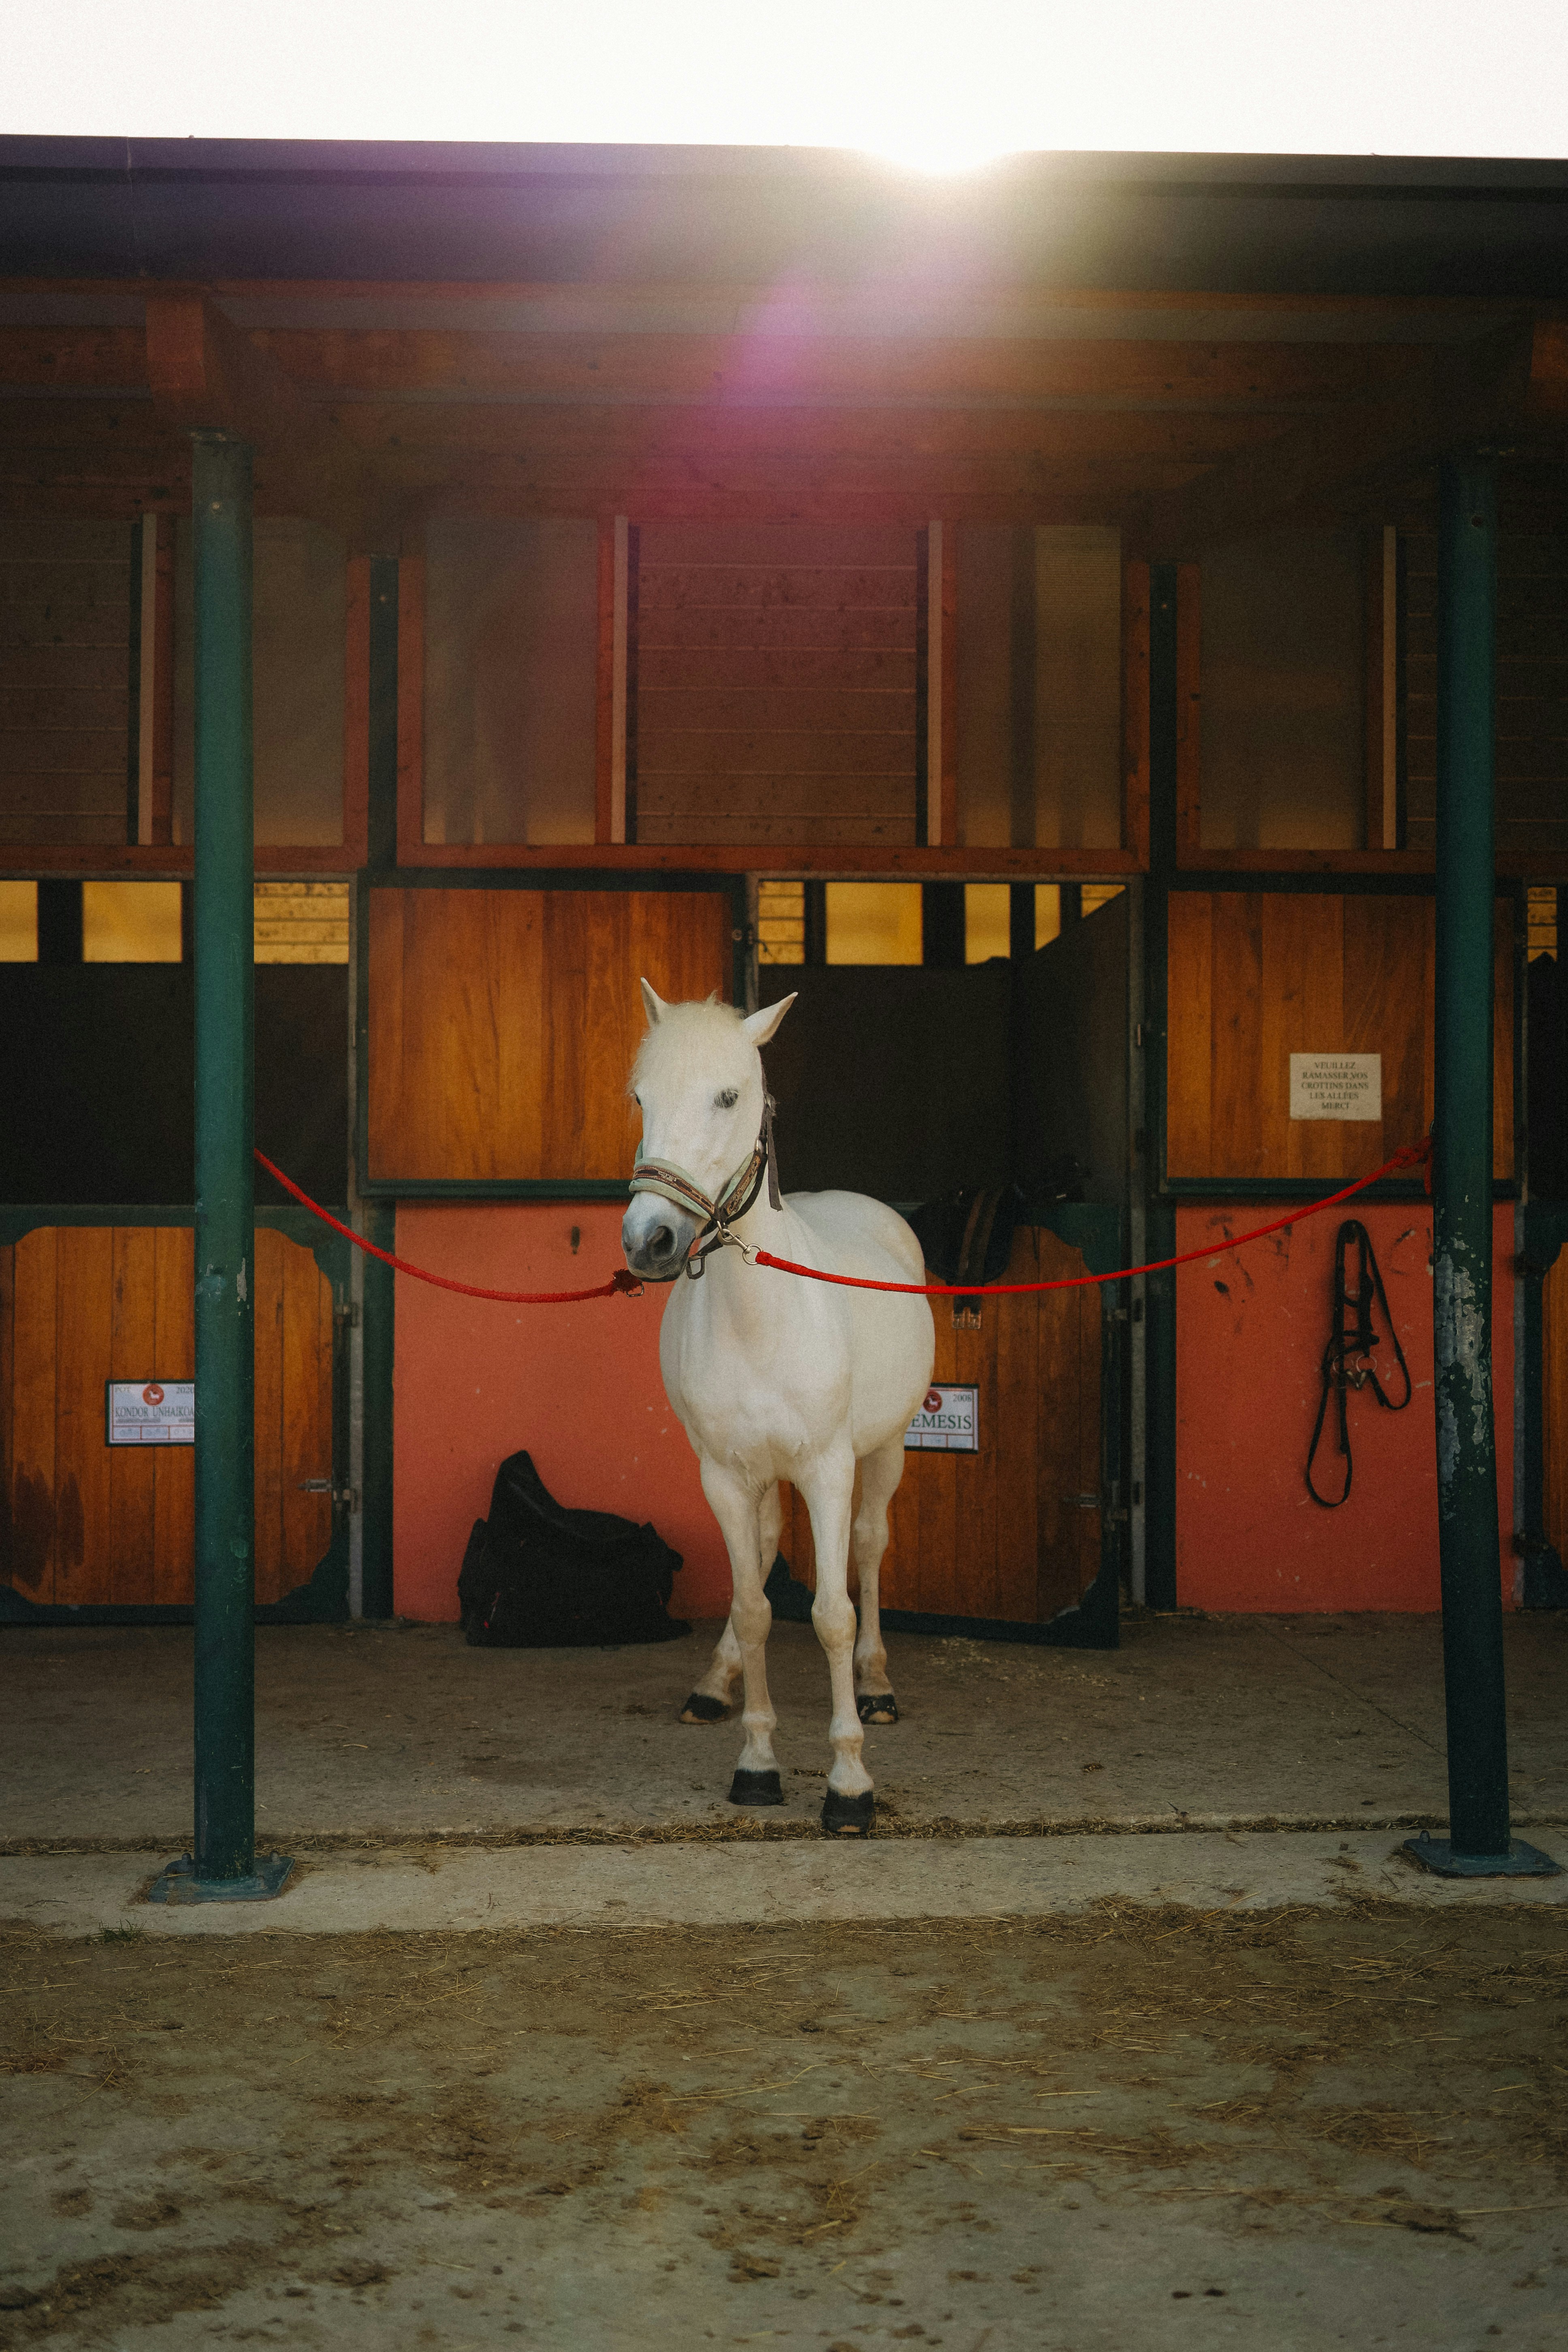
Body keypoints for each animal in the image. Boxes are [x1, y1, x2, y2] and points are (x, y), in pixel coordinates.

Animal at [620, 981, 936, 1836]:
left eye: (729, 1096)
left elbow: (832, 1614)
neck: (759, 1315)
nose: (650, 1240)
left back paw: (876, 1684)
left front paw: (850, 1783)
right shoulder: (726, 1476)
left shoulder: (828, 1469)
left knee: (869, 1546)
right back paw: (715, 1684)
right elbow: (755, 1605)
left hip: (886, 1451)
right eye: (640, 1098)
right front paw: (757, 1764)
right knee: (761, 1554)